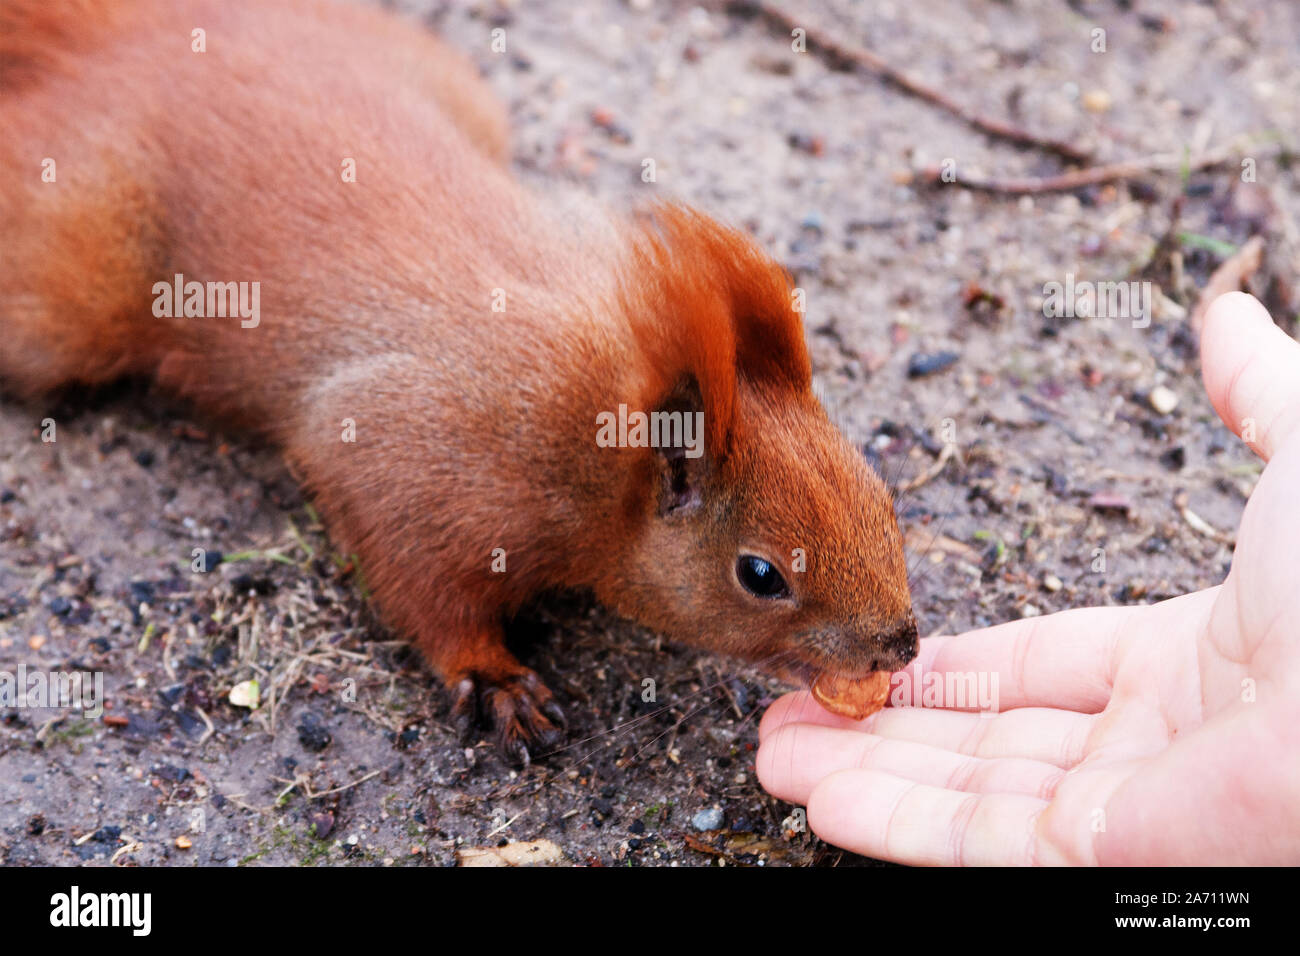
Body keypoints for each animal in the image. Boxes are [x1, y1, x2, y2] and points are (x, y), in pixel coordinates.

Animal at [0, 0, 918, 763]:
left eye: (882, 494)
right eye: (761, 576)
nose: (902, 643)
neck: (605, 449)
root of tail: (137, 37)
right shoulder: (424, 458)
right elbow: (421, 585)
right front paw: (495, 680)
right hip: (68, 286)